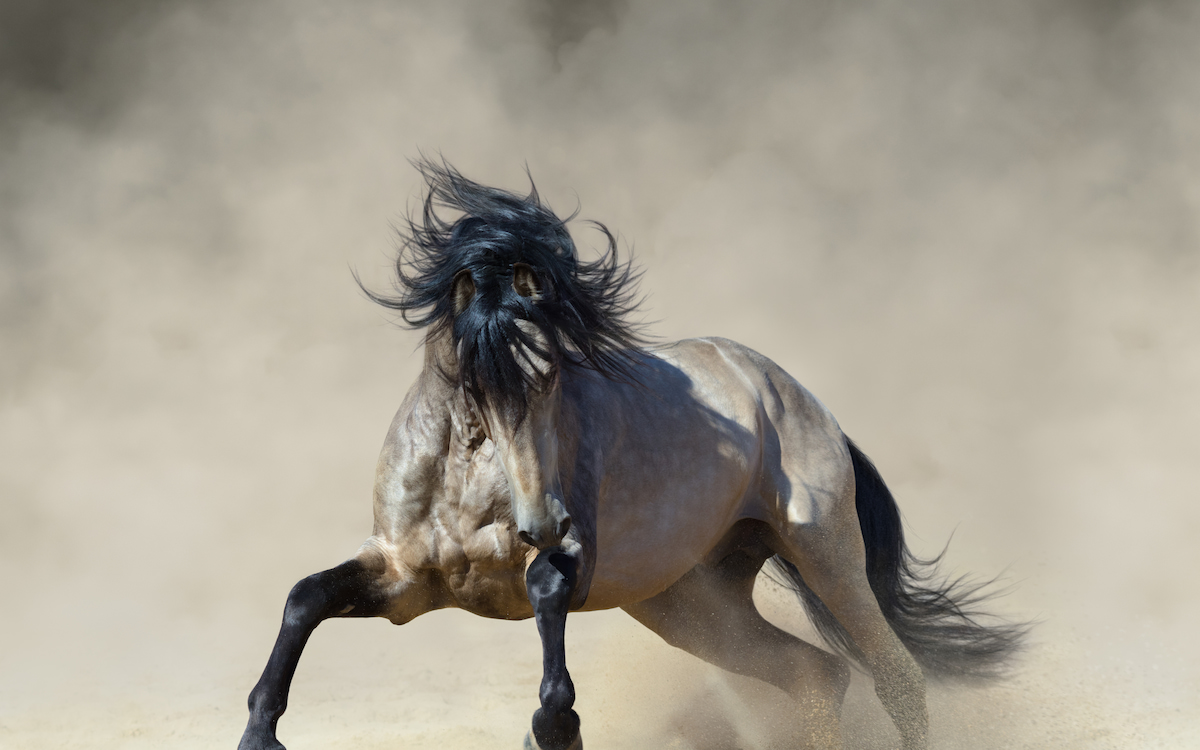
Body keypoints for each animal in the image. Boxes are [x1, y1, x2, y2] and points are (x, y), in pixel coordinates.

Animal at [237, 160, 1026, 750]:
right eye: (475, 385)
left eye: (554, 373)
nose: (541, 522)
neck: (462, 482)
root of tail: (797, 397)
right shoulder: (406, 582)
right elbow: (305, 597)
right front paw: (260, 733)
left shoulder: (568, 559)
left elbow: (546, 599)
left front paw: (557, 727)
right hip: (691, 603)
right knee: (816, 675)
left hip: (823, 553)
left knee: (896, 676)